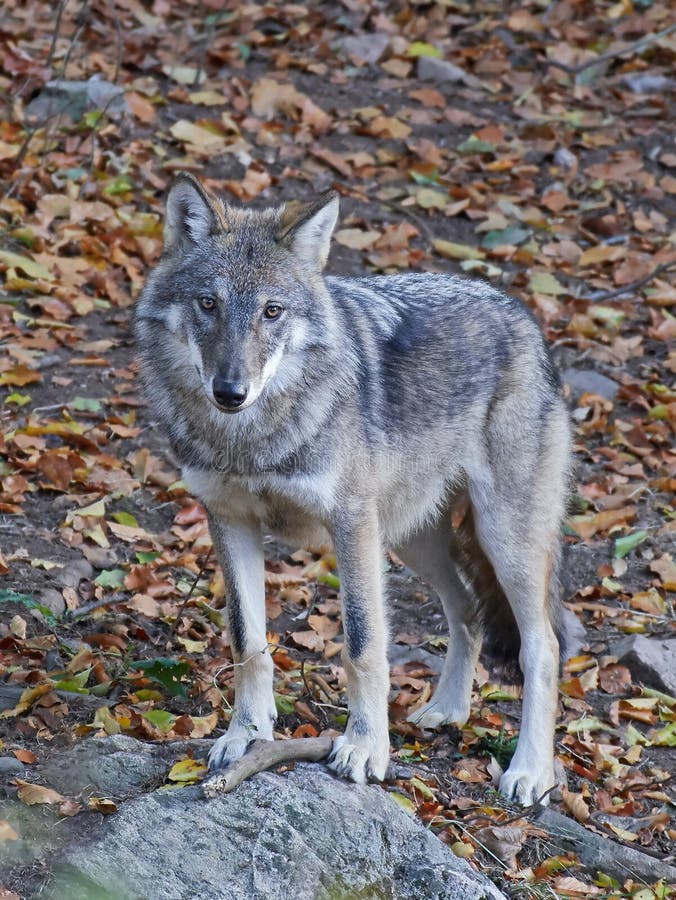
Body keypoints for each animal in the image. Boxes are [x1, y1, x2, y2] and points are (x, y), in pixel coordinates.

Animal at [134, 172, 572, 805]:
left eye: (272, 311)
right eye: (208, 304)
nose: (230, 392)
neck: (251, 436)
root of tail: (524, 316)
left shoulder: (351, 526)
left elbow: (364, 646)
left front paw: (364, 749)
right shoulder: (230, 518)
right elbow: (247, 639)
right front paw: (247, 735)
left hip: (500, 540)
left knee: (543, 647)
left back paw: (531, 770)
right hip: (410, 538)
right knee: (467, 609)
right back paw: (447, 711)